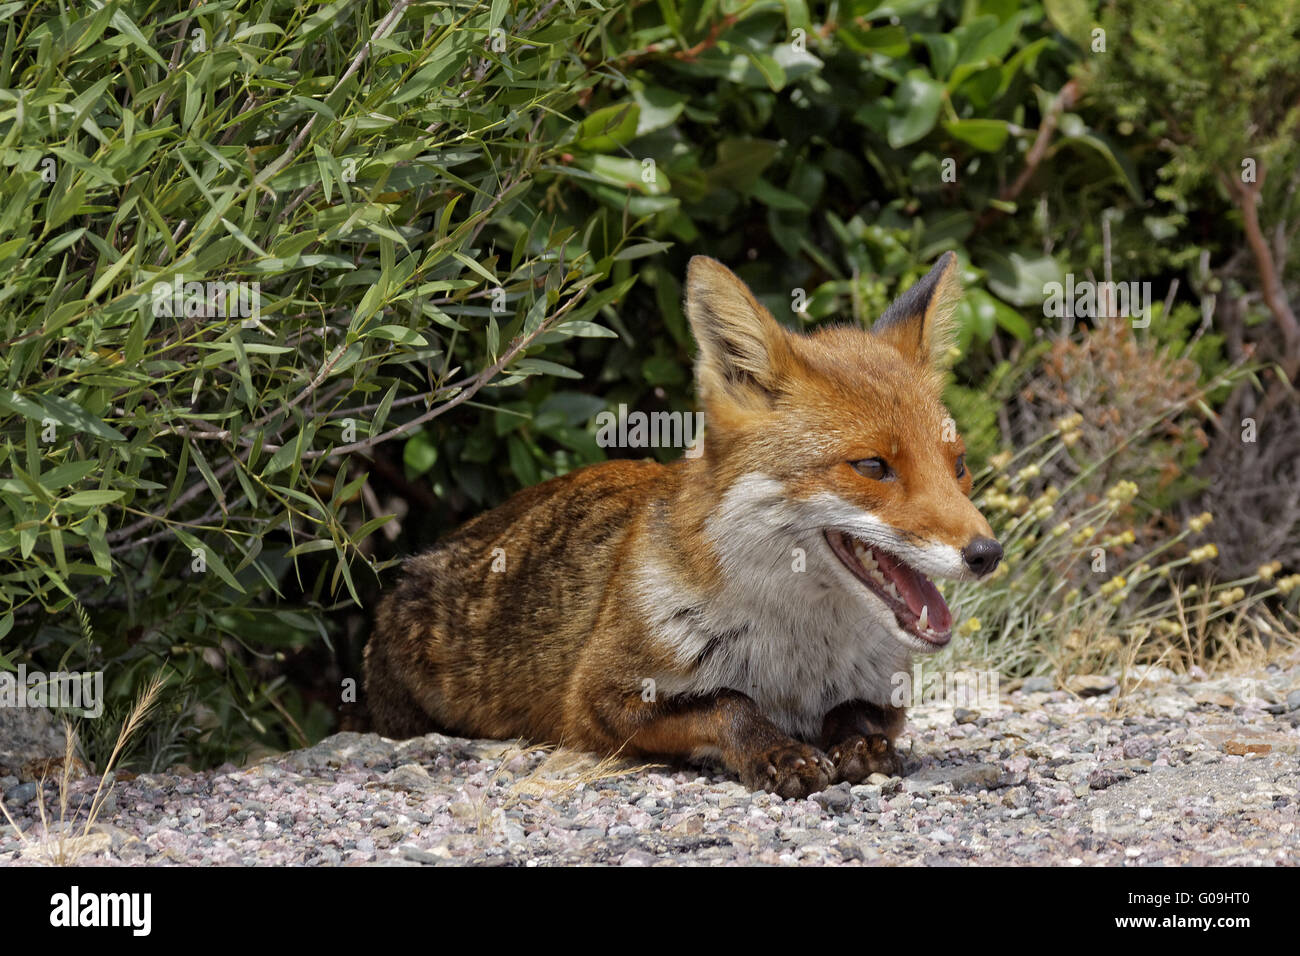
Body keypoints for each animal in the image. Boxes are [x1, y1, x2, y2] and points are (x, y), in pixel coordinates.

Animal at [364, 251, 1002, 798]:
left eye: (959, 466)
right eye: (872, 466)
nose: (987, 553)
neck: (794, 661)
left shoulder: (885, 694)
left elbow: (855, 712)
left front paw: (860, 745)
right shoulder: (596, 701)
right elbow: (727, 703)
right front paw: (778, 752)